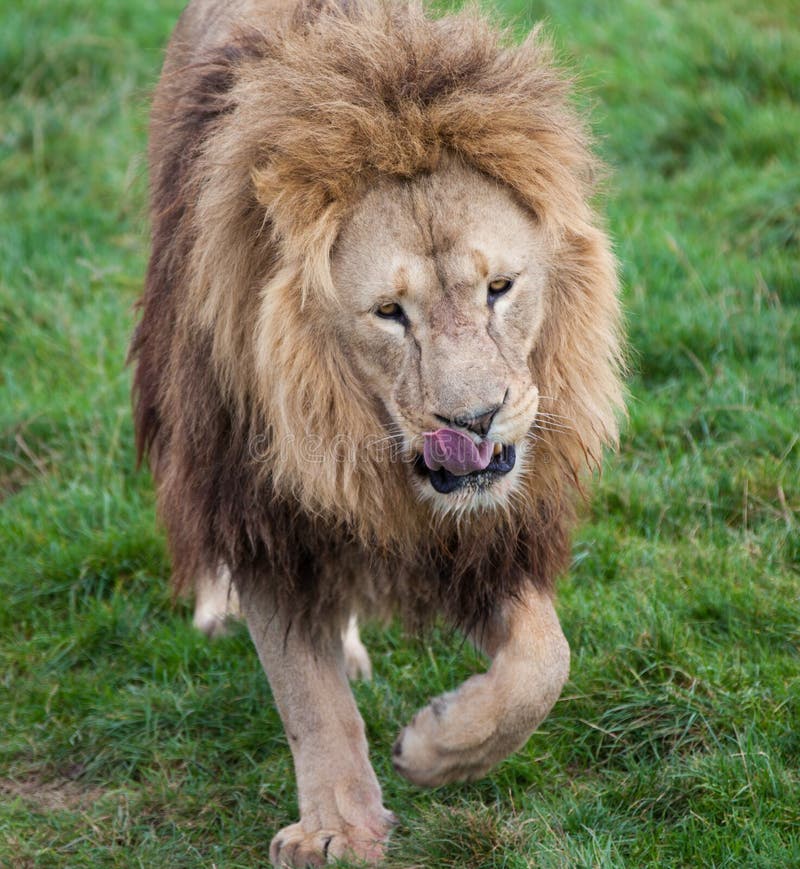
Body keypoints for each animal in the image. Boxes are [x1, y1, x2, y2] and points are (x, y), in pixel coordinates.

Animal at [130, 0, 625, 864]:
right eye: (389, 312)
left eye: (500, 288)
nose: (473, 420)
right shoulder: (265, 511)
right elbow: (307, 692)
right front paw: (336, 826)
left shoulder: (494, 531)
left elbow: (544, 664)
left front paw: (438, 746)